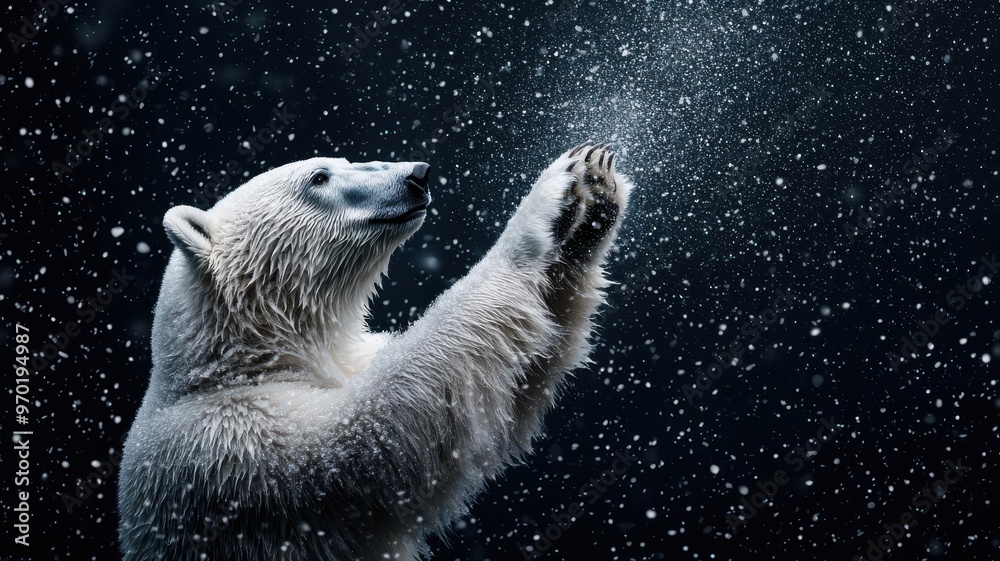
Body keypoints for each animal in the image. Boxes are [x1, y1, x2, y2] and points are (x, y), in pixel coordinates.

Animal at [118, 142, 632, 560]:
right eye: (319, 177)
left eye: (343, 160)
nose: (418, 174)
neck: (233, 360)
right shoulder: (235, 450)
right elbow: (387, 427)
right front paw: (547, 201)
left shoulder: (349, 360)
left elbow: (511, 383)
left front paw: (595, 192)